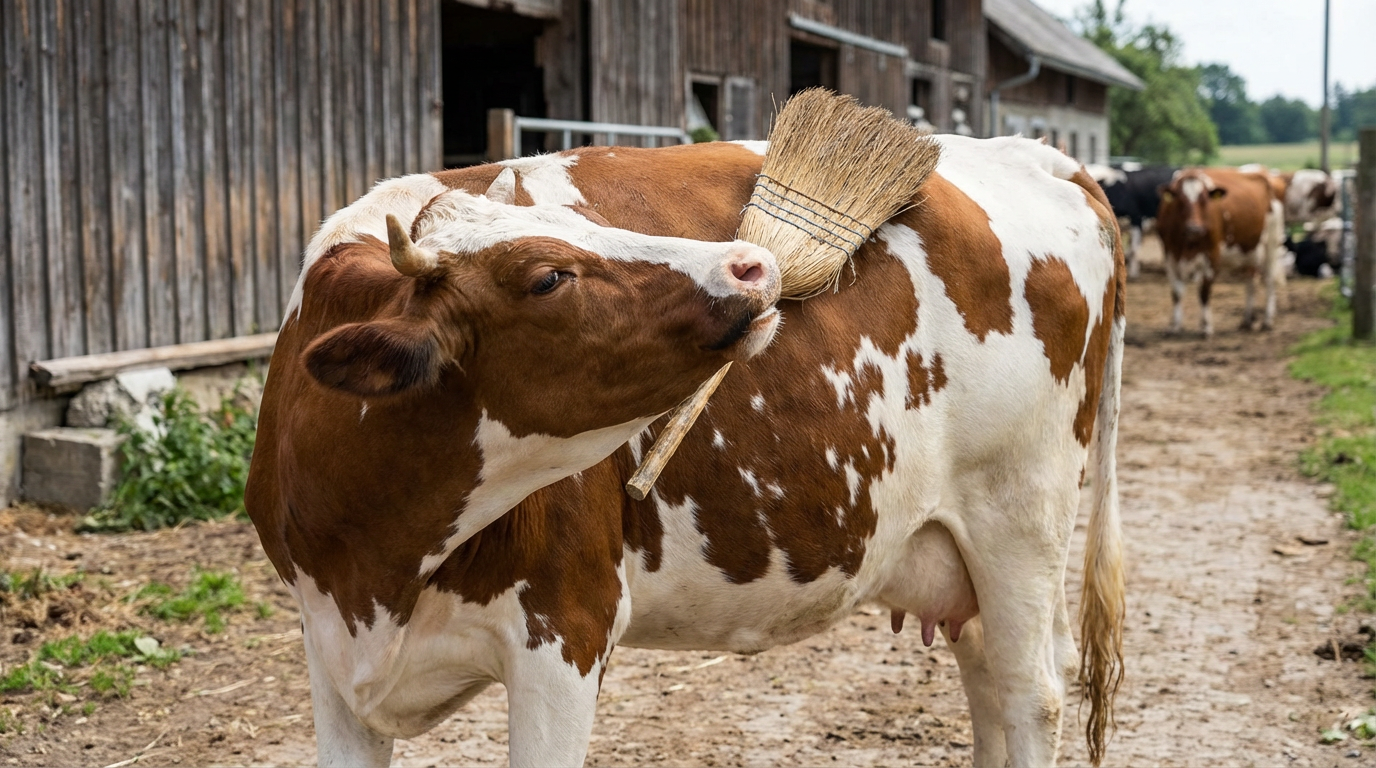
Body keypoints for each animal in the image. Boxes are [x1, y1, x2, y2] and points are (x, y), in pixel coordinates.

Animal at [245, 135, 1127, 768]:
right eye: (548, 277)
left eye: (587, 224)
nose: (751, 263)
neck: (382, 568)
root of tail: (1027, 151)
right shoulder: (330, 657)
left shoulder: (565, 632)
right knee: (987, 681)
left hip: (1020, 517)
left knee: (1030, 693)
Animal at [1157, 167, 1285, 336]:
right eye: (1180, 200)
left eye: (1205, 200)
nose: (1194, 229)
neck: (1187, 246)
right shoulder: (1170, 255)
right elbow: (1176, 292)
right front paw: (1175, 326)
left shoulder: (1212, 255)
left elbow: (1204, 291)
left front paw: (1206, 327)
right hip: (1250, 252)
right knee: (1251, 282)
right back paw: (1247, 321)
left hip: (1271, 245)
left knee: (1269, 280)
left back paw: (1267, 321)